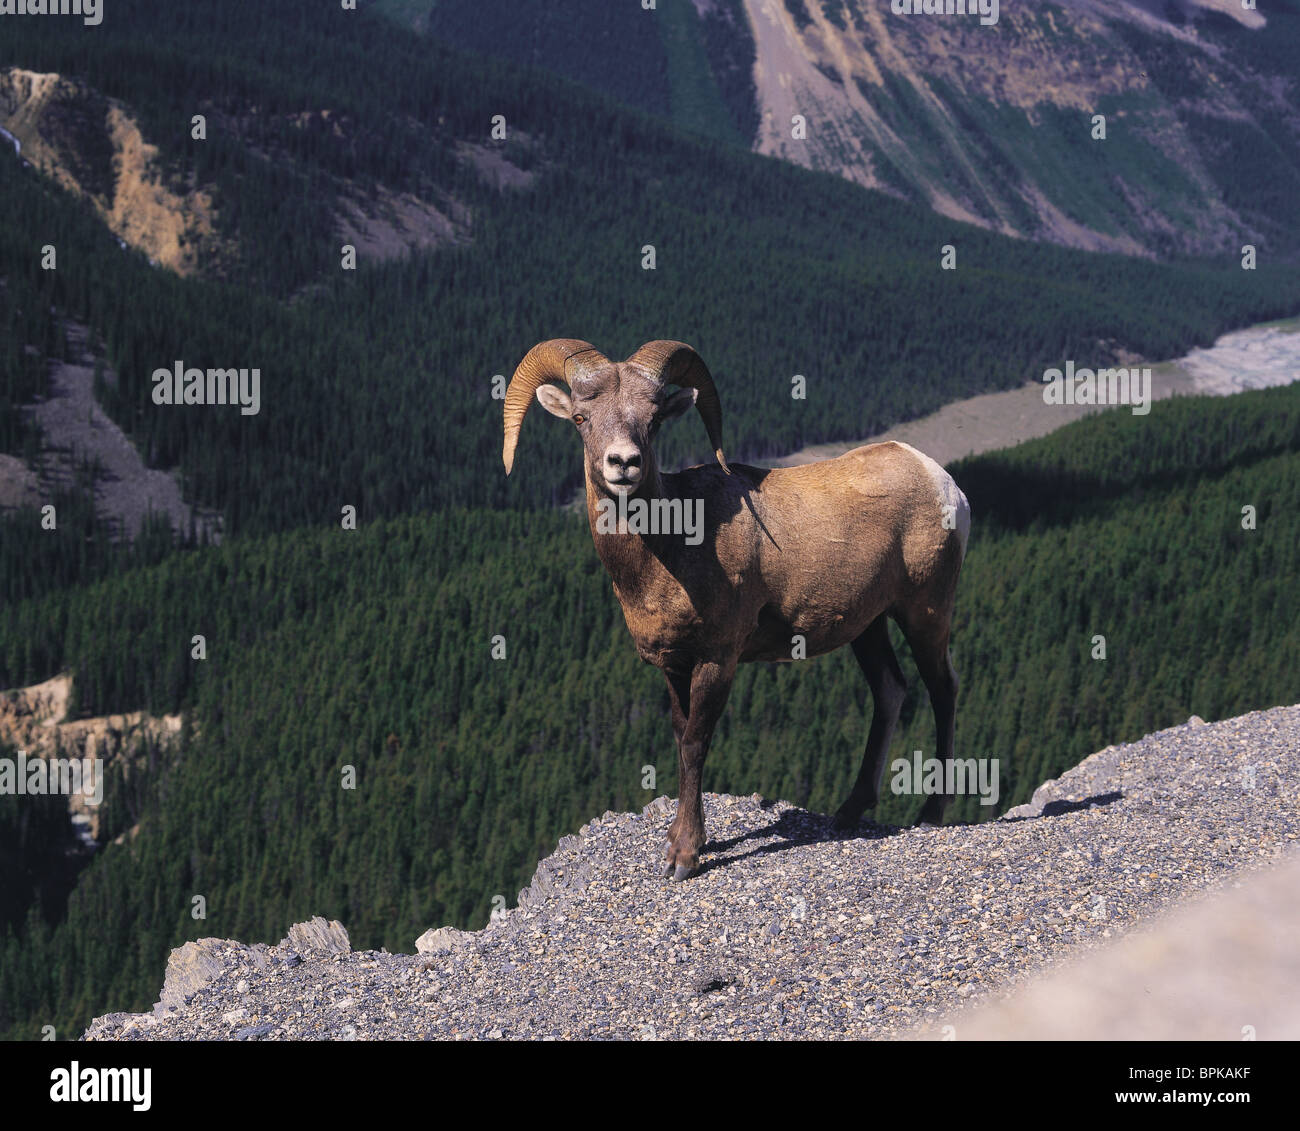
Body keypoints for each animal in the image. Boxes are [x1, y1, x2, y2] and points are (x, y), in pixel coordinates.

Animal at [503, 338, 971, 880]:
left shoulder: (718, 660)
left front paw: (684, 856)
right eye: (581, 418)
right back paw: (849, 812)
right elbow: (680, 737)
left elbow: (695, 744)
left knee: (942, 688)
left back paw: (931, 813)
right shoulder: (673, 665)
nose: (624, 464)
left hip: (925, 610)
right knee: (891, 691)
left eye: (654, 419)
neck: (669, 549)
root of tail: (941, 480)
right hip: (868, 626)